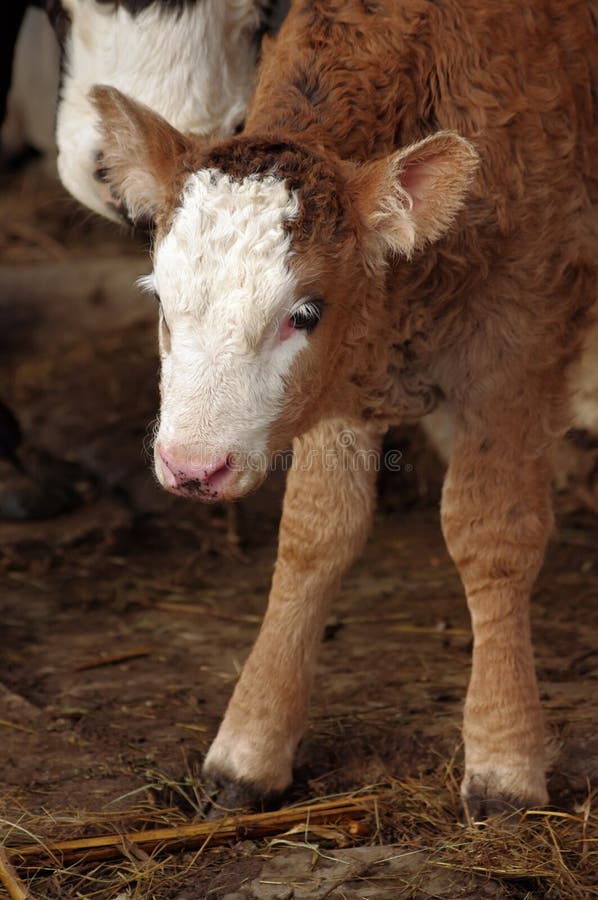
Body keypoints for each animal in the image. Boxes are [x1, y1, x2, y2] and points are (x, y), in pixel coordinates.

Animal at [26, 0, 598, 817]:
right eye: (162, 301)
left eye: (304, 313)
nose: (192, 466)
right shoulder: (345, 378)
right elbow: (314, 535)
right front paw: (249, 747)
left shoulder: (520, 342)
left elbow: (491, 532)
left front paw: (505, 759)